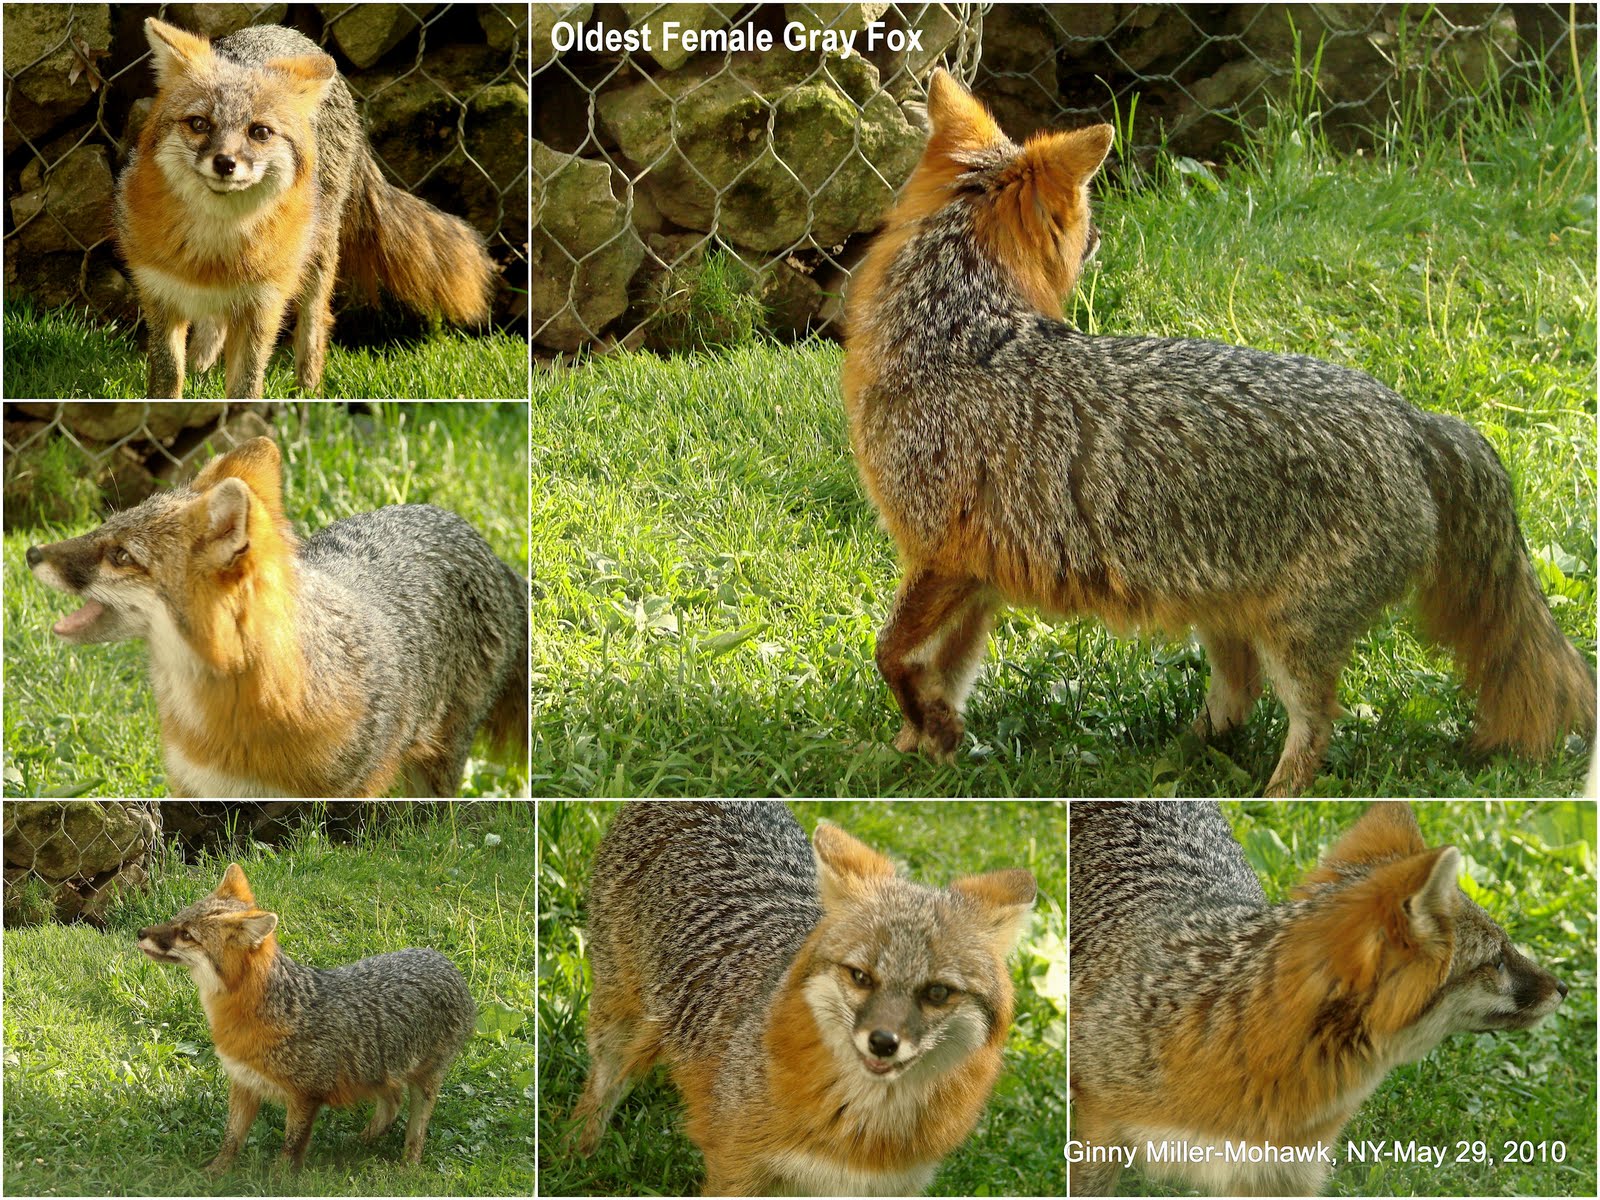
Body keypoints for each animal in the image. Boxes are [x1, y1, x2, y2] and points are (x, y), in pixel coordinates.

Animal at [114, 17, 495, 400]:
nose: (225, 163)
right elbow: (167, 377)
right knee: (214, 325)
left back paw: (308, 390)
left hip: (319, 257)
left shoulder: (263, 304)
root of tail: (285, 32)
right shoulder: (159, 296)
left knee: (315, 325)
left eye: (260, 132)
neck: (214, 251)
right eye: (199, 124)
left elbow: (246, 385)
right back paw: (201, 366)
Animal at [136, 862, 476, 1170]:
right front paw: (214, 1175)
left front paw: (278, 1183)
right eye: (176, 918)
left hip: (424, 1083)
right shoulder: (244, 1083)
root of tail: (444, 960)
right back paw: (357, 1143)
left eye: (186, 934)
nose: (140, 932)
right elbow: (231, 1139)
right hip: (375, 1072)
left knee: (415, 1127)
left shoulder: (305, 1096)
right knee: (392, 1103)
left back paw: (408, 1165)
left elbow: (290, 1148)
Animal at [571, 801, 1038, 1196]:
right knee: (600, 1088)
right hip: (617, 1023)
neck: (861, 1132)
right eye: (861, 977)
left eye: (937, 992)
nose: (883, 1042)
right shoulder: (736, 1167)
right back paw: (573, 1156)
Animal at [843, 68, 1595, 795]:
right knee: (1238, 700)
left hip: (1294, 635)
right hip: (1226, 613)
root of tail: (1409, 417)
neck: (954, 329)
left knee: (1314, 722)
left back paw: (1274, 798)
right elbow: (940, 668)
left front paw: (930, 731)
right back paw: (1165, 760)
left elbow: (890, 652)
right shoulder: (974, 572)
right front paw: (926, 740)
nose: (1102, 239)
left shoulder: (943, 558)